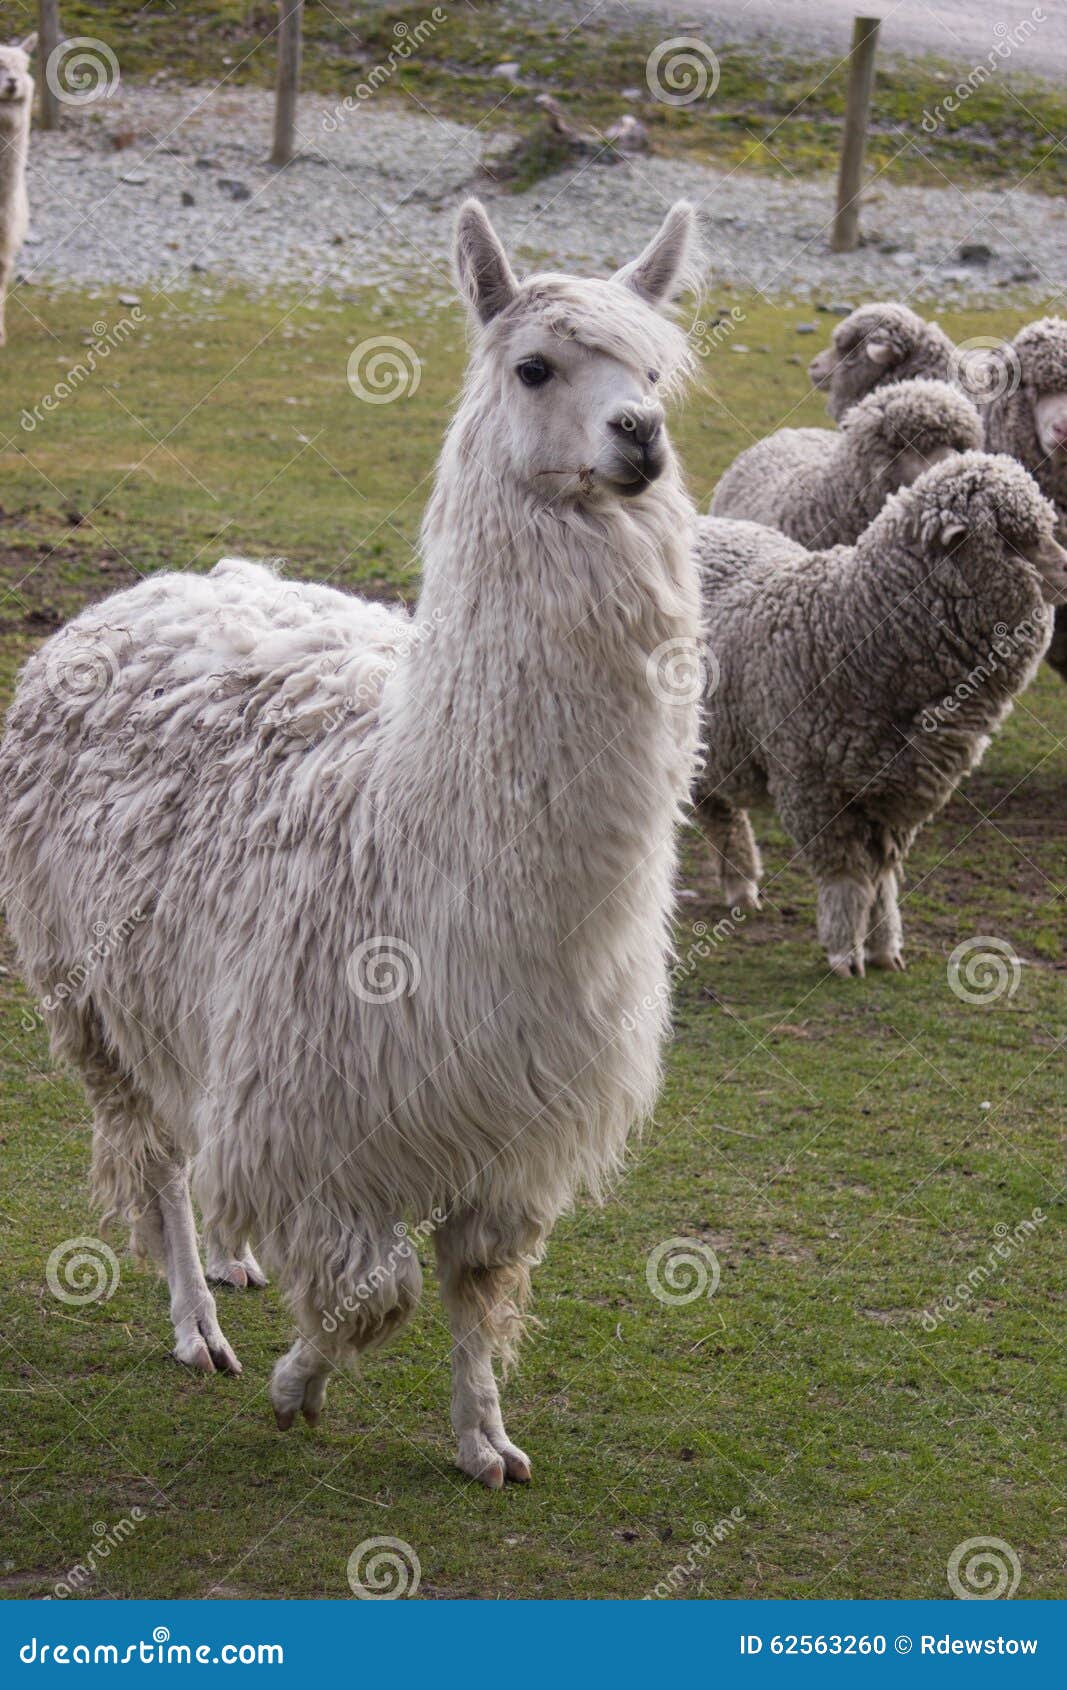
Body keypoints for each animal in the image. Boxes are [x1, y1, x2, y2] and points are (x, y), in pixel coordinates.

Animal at [0, 200, 703, 1487]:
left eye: (652, 372)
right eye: (535, 367)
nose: (640, 439)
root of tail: (139, 591)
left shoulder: (515, 1124)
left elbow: (474, 1284)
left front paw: (485, 1437)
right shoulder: (312, 1097)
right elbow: (376, 1290)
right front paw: (295, 1382)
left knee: (195, 1131)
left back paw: (235, 1264)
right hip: (85, 989)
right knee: (158, 1157)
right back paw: (199, 1323)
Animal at [694, 452, 1067, 978]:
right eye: (1012, 538)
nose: (1066, 573)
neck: (850, 625)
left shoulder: (893, 792)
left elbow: (882, 879)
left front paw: (885, 949)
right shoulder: (813, 790)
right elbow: (848, 876)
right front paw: (844, 954)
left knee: (719, 811)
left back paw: (741, 886)